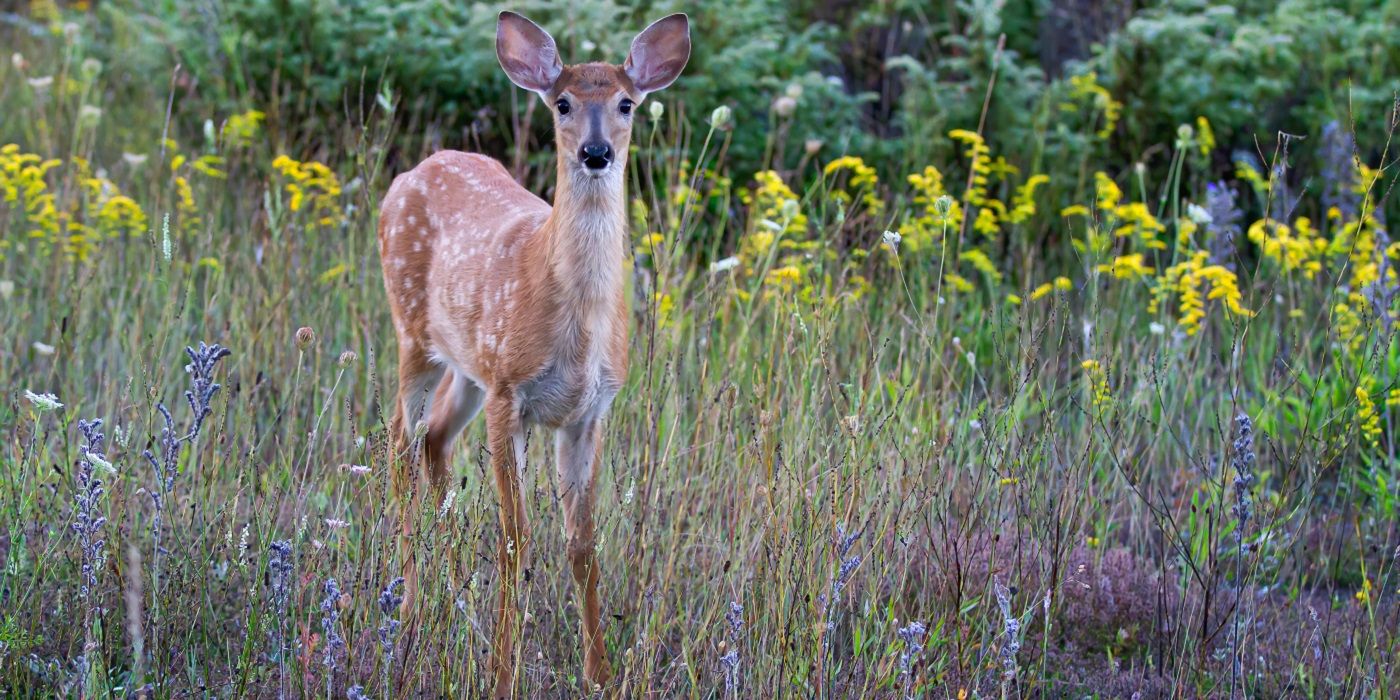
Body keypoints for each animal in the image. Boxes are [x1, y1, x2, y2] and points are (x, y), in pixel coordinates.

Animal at [376, 10, 690, 696]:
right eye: (563, 103)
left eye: (627, 103)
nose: (595, 153)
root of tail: (412, 172)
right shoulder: (510, 392)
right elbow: (516, 538)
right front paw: (502, 673)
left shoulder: (588, 412)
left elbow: (582, 544)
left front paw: (600, 674)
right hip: (414, 333)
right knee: (398, 442)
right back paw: (408, 607)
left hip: (469, 366)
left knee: (433, 439)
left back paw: (456, 602)